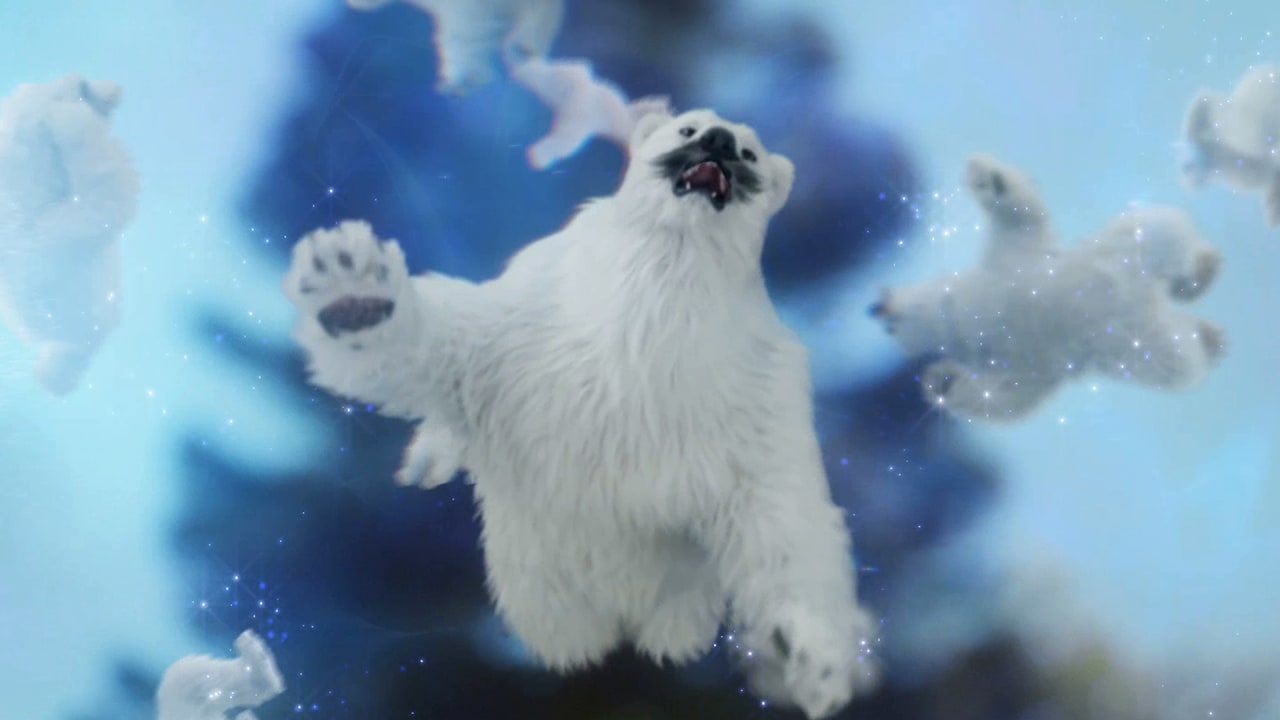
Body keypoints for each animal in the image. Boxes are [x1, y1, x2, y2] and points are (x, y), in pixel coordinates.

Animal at [283, 109, 879, 719]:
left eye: (751, 153)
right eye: (688, 128)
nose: (720, 140)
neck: (644, 339)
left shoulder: (761, 396)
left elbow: (787, 519)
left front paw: (809, 656)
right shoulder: (519, 336)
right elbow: (435, 346)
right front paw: (352, 293)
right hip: (541, 587)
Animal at [871, 154, 1226, 423]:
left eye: (889, 325)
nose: (874, 307)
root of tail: (1147, 300)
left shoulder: (1011, 264)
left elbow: (1019, 213)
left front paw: (986, 176)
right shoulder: (1021, 364)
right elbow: (1006, 400)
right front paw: (941, 382)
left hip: (1133, 246)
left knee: (1167, 229)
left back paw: (1205, 281)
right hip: (1139, 345)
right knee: (1179, 354)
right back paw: (1210, 332)